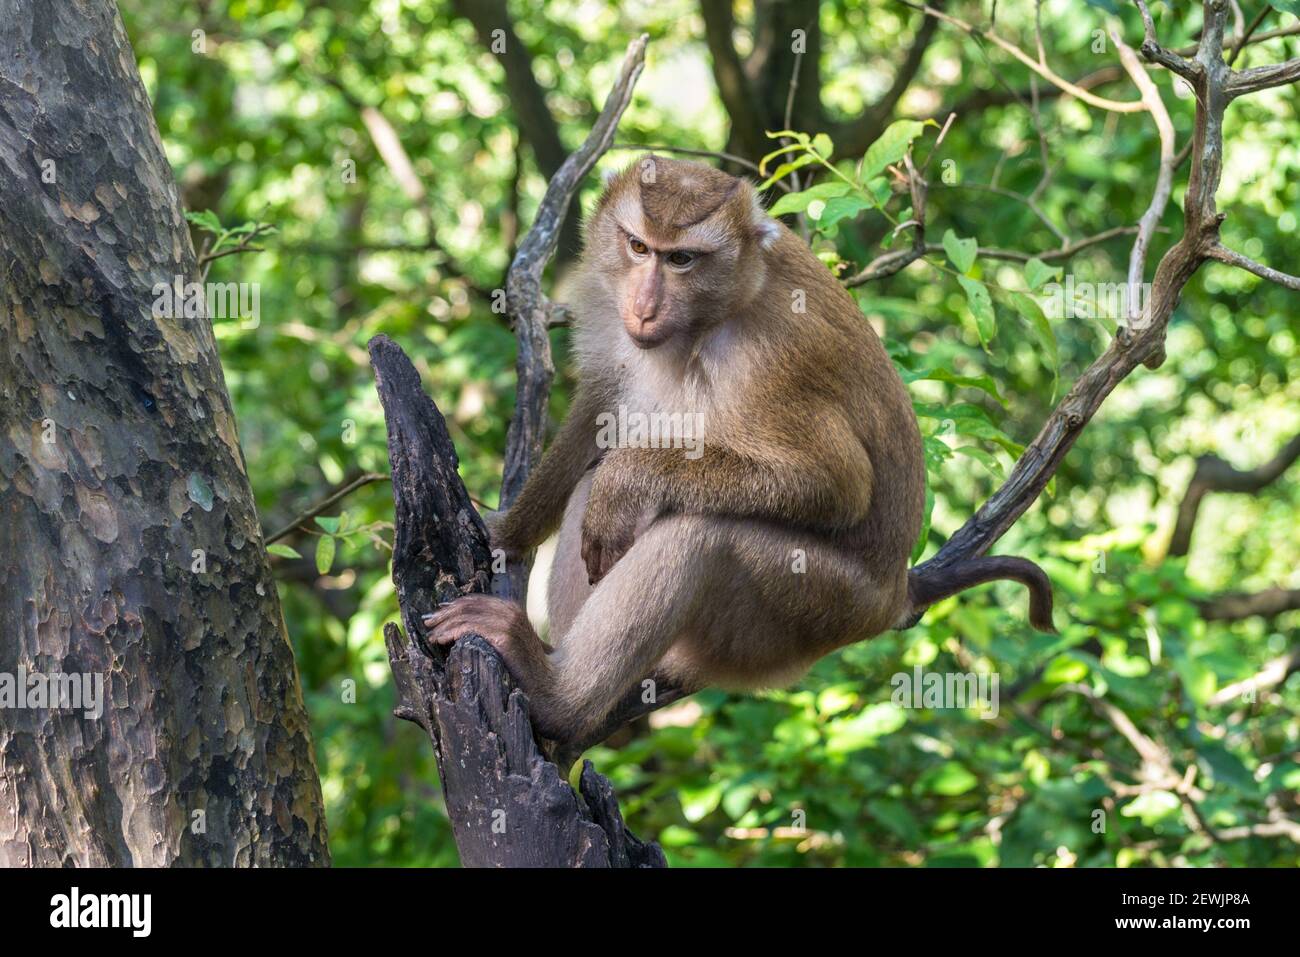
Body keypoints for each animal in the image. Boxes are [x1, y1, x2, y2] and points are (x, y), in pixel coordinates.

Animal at [424, 155, 1054, 745]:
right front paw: (509, 532)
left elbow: (837, 483)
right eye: (638, 246)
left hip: (818, 610)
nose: (644, 307)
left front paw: (625, 481)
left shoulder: (771, 362)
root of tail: (897, 593)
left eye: (682, 260)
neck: (715, 312)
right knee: (596, 493)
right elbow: (599, 414)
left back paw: (557, 696)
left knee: (698, 534)